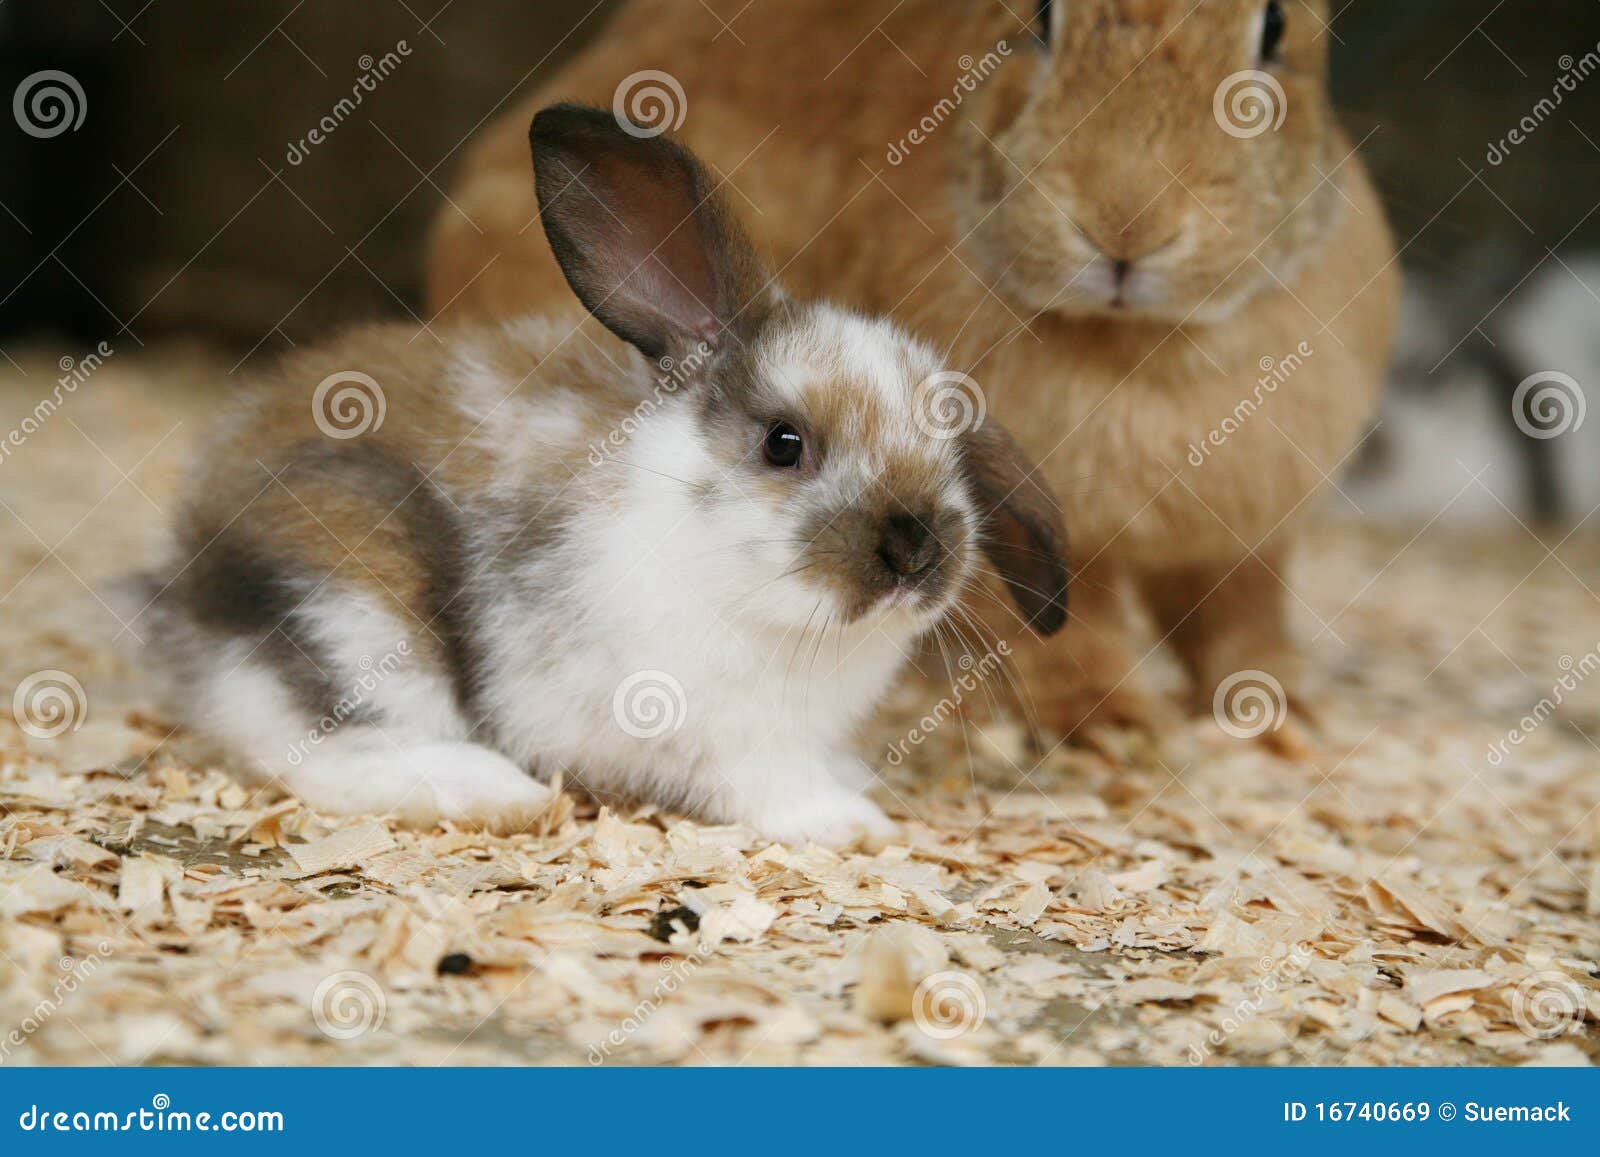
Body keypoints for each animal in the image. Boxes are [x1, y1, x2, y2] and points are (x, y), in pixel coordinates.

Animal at [132, 104, 1069, 846]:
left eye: (956, 458)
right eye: (783, 443)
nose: (917, 547)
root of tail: (181, 569)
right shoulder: (704, 731)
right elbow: (761, 781)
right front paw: (850, 823)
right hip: (355, 600)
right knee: (321, 754)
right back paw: (495, 794)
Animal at [426, 0, 1400, 738]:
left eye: (1275, 28)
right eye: (1041, 20)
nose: (1123, 223)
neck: (1142, 346)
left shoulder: (1245, 543)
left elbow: (1243, 623)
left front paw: (1284, 713)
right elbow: (1065, 633)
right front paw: (1111, 724)